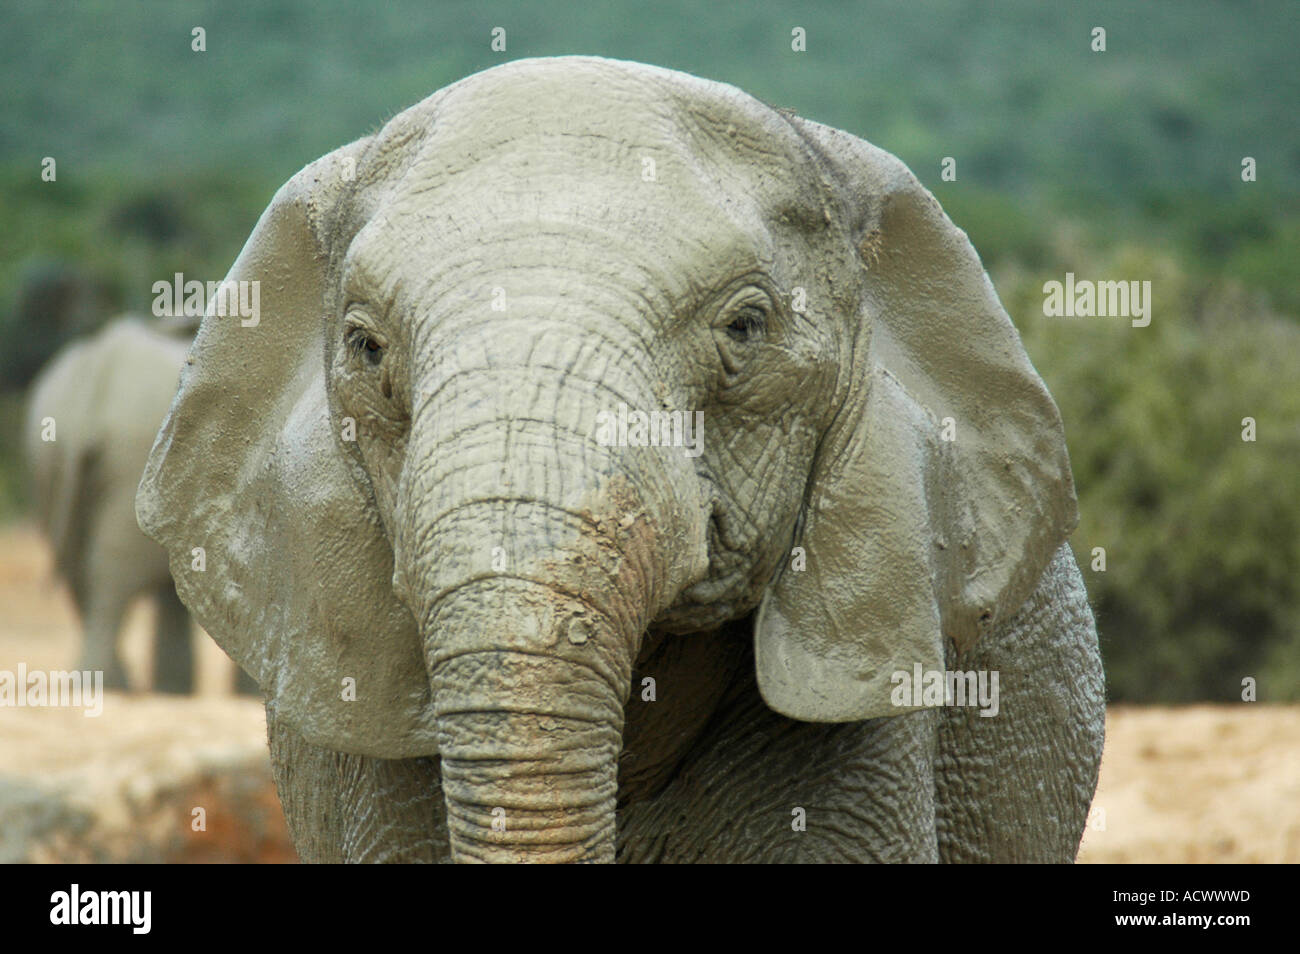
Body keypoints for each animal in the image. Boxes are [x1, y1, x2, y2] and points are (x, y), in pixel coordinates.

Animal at [25, 316, 255, 694]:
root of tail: (102, 366)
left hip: (50, 463)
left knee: (81, 572)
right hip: (126, 459)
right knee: (109, 577)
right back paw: (108, 687)